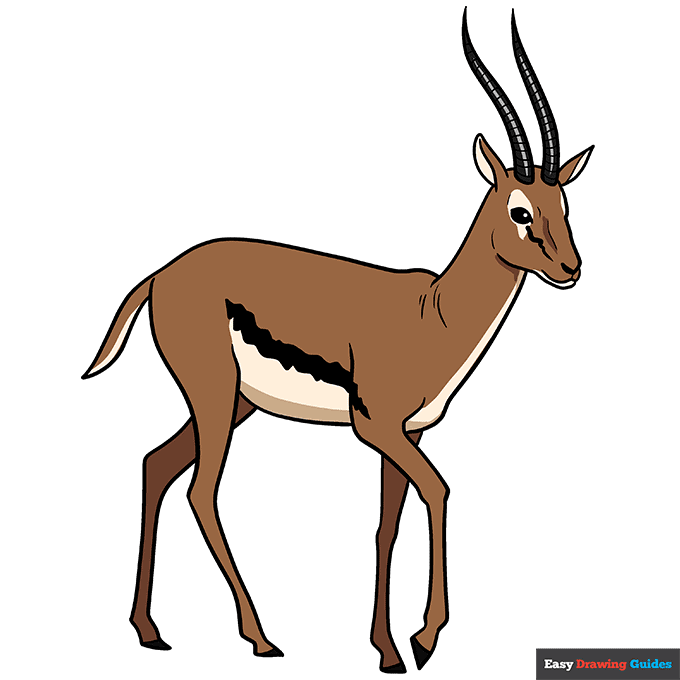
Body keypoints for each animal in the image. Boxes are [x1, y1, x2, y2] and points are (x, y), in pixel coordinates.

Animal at [83, 10, 593, 674]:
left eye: (564, 203)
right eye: (519, 210)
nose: (572, 269)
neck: (434, 315)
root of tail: (161, 274)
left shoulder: (408, 434)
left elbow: (386, 526)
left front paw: (389, 650)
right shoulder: (375, 426)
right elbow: (439, 491)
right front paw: (425, 640)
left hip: (232, 404)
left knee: (156, 465)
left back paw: (149, 630)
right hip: (215, 396)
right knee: (201, 492)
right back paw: (261, 637)